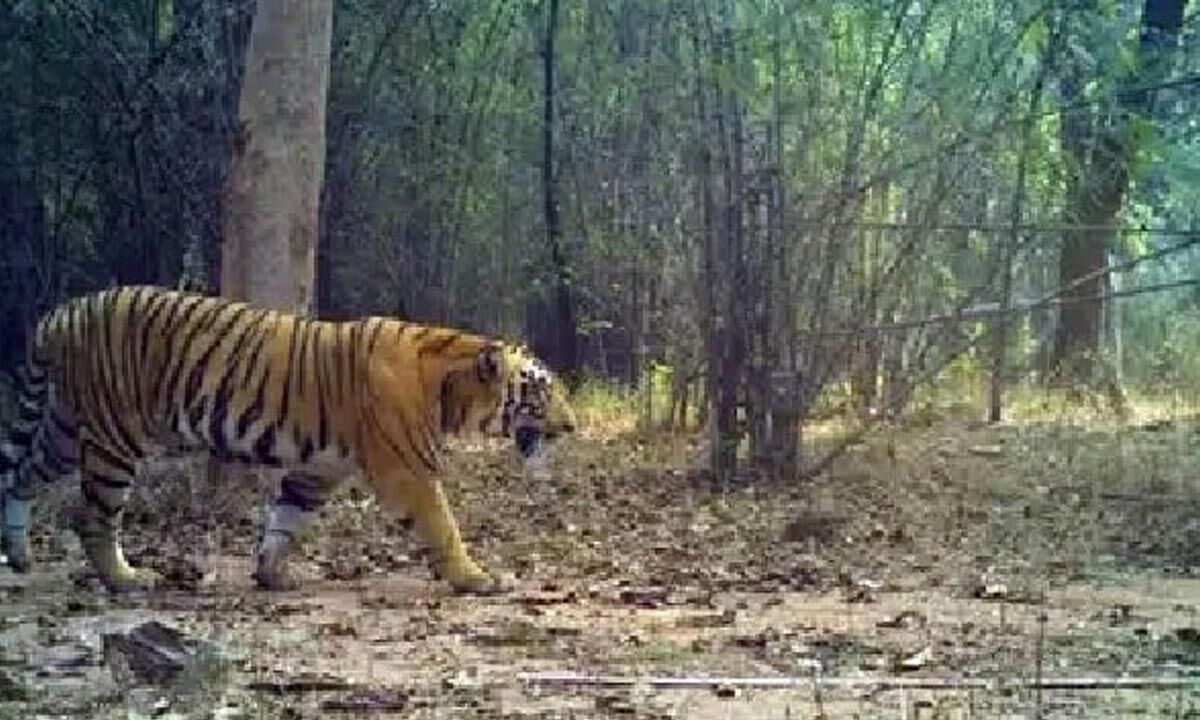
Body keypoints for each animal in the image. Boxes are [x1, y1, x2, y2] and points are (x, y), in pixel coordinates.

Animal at [0, 286, 576, 594]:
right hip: (115, 436)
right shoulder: (407, 471)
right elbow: (443, 527)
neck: (449, 389)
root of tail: (62, 312)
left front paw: (271, 574)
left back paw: (18, 554)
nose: (572, 428)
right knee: (91, 514)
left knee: (19, 476)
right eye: (541, 391)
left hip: (64, 428)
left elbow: (286, 521)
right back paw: (125, 578)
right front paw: (474, 577)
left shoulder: (318, 469)